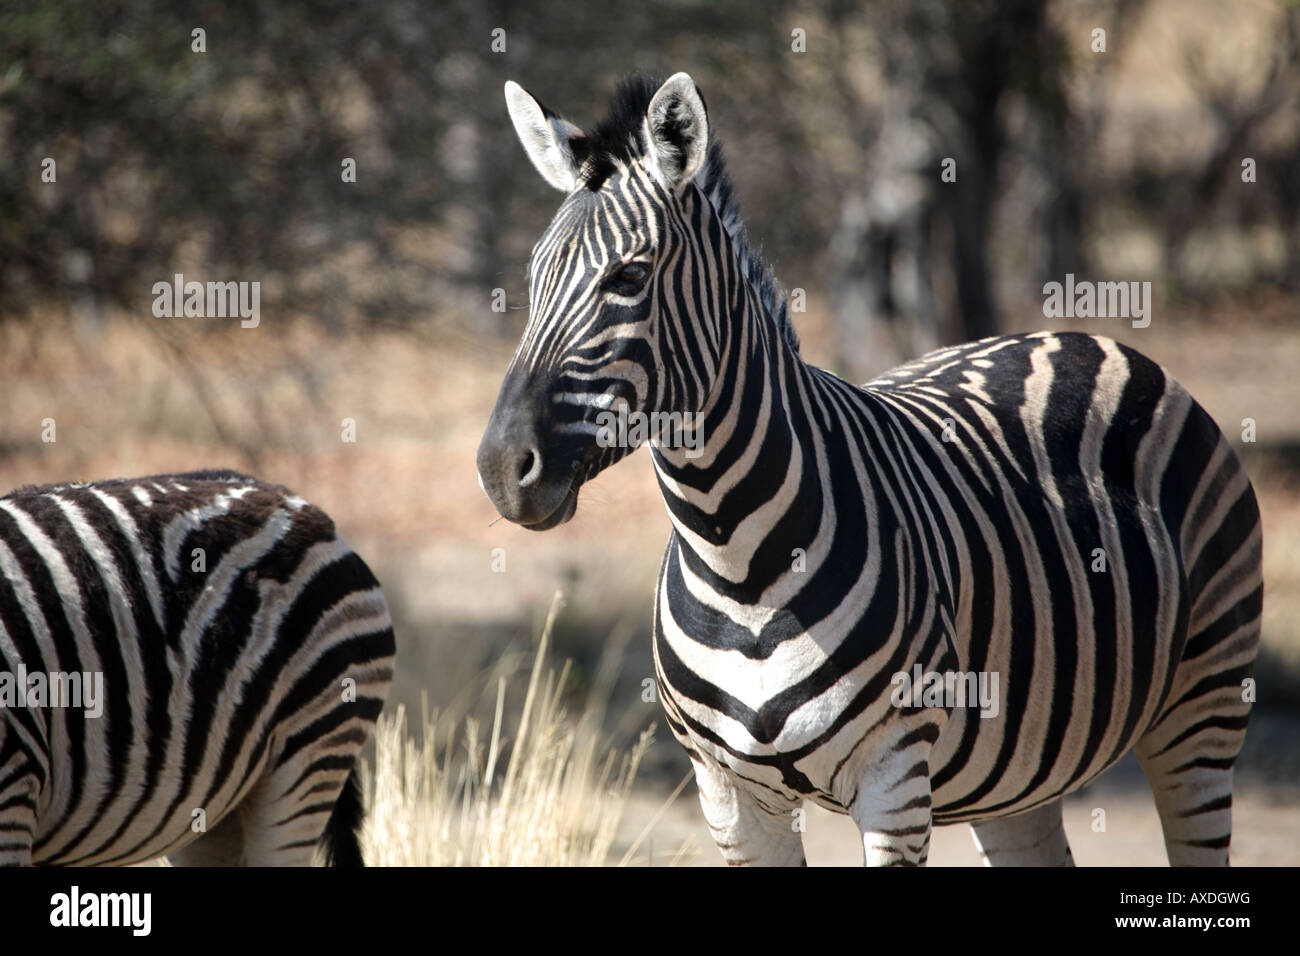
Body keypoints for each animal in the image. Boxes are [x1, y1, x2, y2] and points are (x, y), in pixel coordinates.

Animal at [477, 73, 1264, 866]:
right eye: (532, 279)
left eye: (629, 276)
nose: (501, 468)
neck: (735, 558)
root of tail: (1075, 336)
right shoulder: (728, 794)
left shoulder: (894, 776)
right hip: (1019, 773)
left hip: (1204, 704)